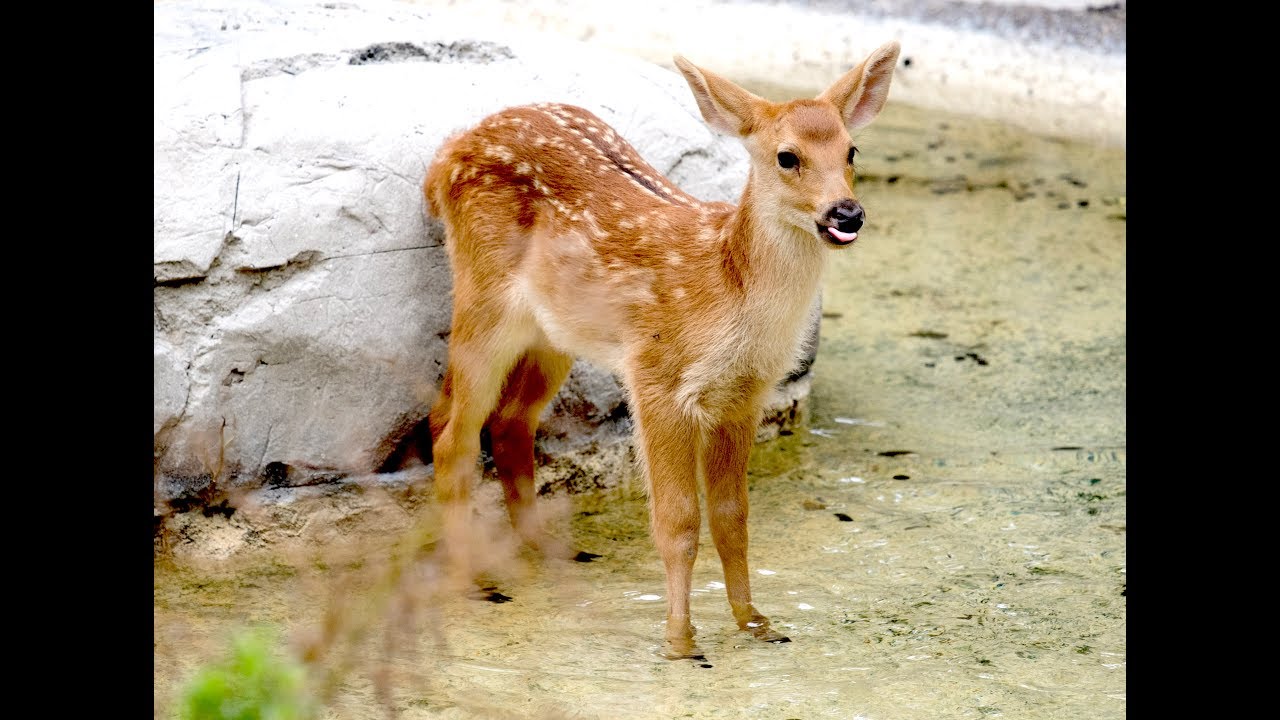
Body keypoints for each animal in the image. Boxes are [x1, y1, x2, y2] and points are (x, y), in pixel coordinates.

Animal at [421, 41, 901, 660]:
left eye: (851, 151)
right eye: (787, 157)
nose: (846, 212)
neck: (727, 286)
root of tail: (444, 157)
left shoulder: (742, 395)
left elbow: (732, 518)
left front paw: (754, 622)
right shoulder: (657, 375)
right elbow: (677, 521)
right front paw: (680, 640)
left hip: (555, 332)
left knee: (509, 422)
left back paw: (547, 553)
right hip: (484, 299)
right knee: (451, 430)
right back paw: (472, 580)